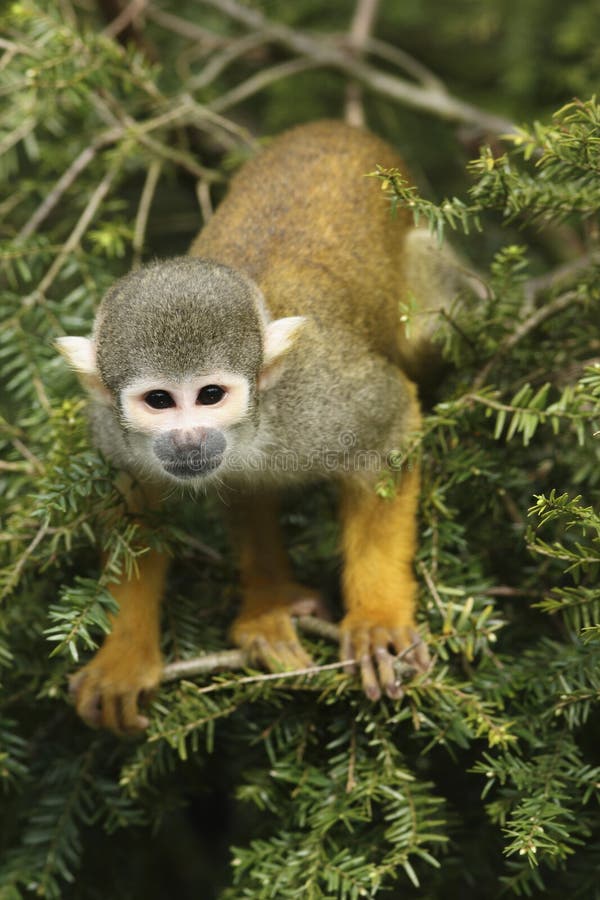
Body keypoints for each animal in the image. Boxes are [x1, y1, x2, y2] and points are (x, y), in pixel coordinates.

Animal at [57, 120, 469, 735]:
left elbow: (388, 431)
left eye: (210, 395)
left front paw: (376, 618)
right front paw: (124, 656)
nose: (189, 439)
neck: (259, 426)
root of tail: (337, 126)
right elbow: (138, 504)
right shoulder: (112, 428)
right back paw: (268, 606)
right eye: (159, 400)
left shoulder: (325, 395)